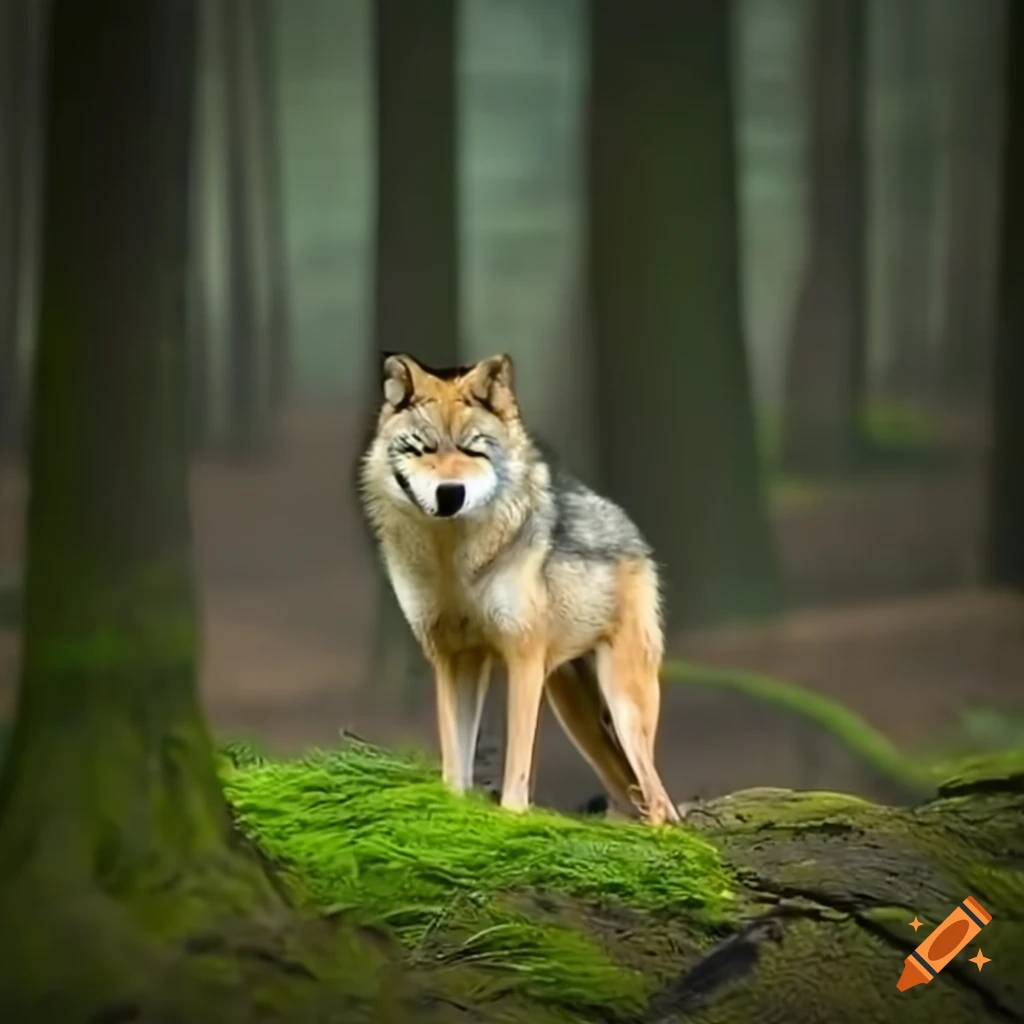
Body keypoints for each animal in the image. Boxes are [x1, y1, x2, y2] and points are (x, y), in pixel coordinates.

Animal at [358, 352, 679, 824]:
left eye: (472, 450)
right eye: (424, 449)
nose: (450, 494)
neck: (455, 561)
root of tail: (631, 531)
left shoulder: (522, 659)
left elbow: (518, 765)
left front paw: (510, 818)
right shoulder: (453, 658)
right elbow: (455, 759)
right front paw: (454, 811)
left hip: (621, 702)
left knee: (658, 801)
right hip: (578, 712)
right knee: (639, 795)